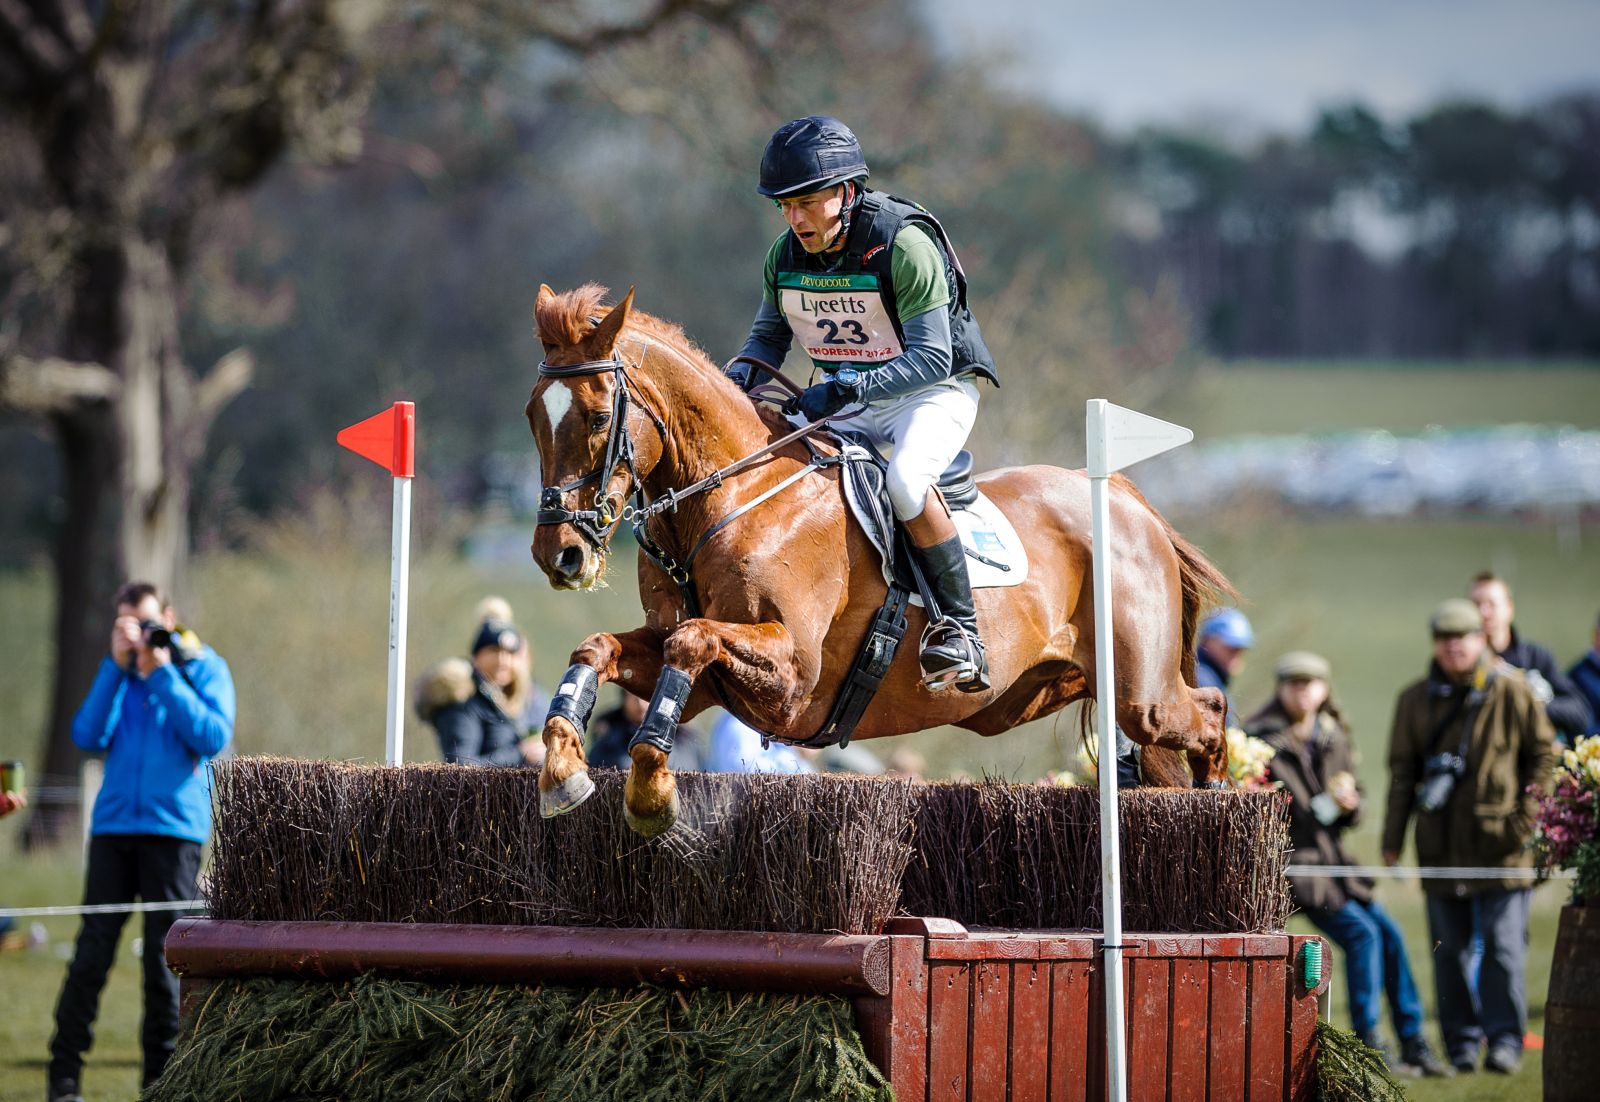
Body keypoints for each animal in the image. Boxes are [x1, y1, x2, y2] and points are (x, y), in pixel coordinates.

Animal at [525, 283, 1234, 836]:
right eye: (534, 417)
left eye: (596, 418)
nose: (559, 555)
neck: (736, 497)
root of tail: (1125, 498)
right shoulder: (702, 682)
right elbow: (598, 649)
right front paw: (562, 774)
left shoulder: (793, 677)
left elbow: (691, 641)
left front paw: (648, 797)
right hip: (1047, 691)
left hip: (1141, 694)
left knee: (1208, 711)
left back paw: (1223, 803)